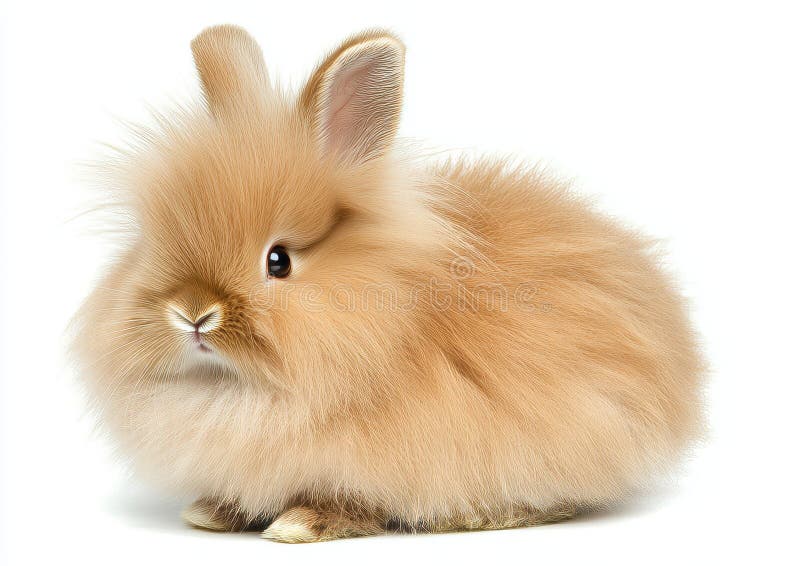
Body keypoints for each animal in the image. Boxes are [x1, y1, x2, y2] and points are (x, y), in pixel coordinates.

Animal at [71, 24, 705, 543]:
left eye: (278, 261)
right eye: (152, 242)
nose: (193, 312)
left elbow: (354, 500)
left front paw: (301, 523)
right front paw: (212, 511)